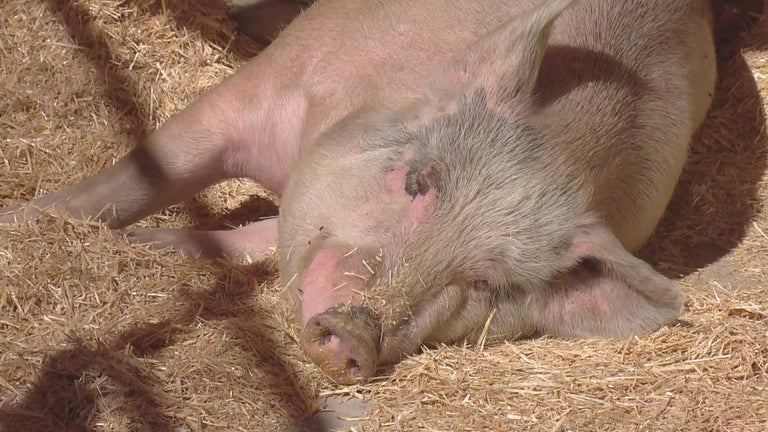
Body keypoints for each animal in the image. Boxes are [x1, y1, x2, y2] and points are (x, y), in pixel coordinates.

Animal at [0, 0, 716, 385]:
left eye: (484, 284)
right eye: (417, 181)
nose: (353, 329)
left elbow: (257, 242)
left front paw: (154, 247)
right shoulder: (264, 88)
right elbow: (148, 170)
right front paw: (26, 222)